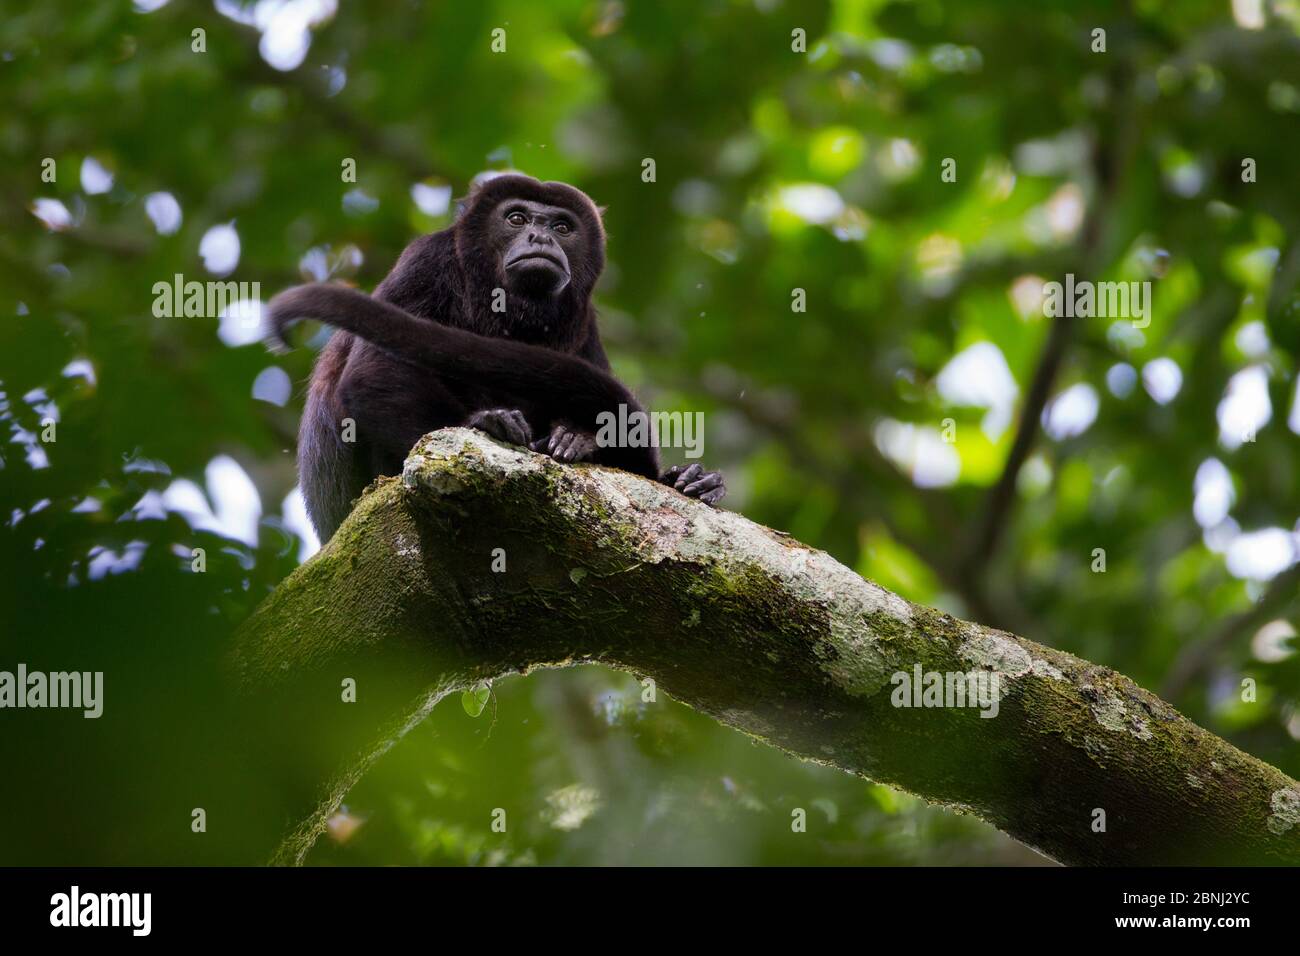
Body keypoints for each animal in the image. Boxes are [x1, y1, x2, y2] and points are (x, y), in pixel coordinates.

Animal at [268, 173, 726, 541]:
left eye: (562, 226)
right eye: (517, 219)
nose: (541, 239)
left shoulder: (586, 320)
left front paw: (583, 439)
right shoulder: (427, 260)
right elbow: (373, 374)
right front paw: (488, 422)